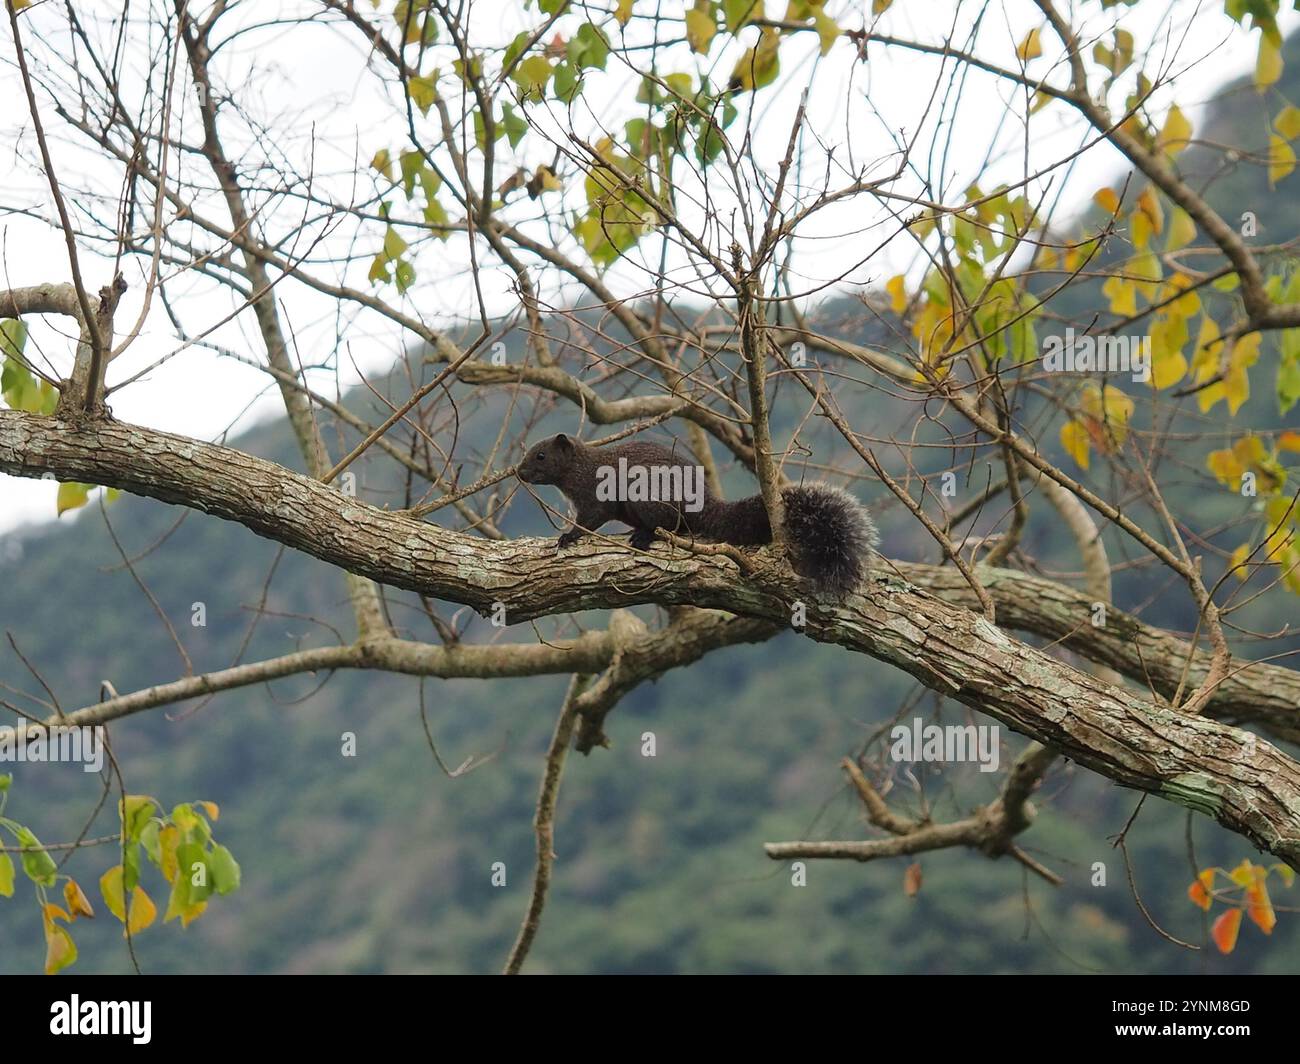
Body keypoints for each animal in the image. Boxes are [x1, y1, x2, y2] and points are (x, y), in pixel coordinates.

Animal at [516, 433, 877, 595]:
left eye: (541, 455)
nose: (519, 472)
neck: (579, 468)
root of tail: (705, 504)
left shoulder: (595, 498)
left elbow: (589, 521)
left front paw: (568, 536)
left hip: (651, 501)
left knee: (673, 525)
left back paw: (645, 535)